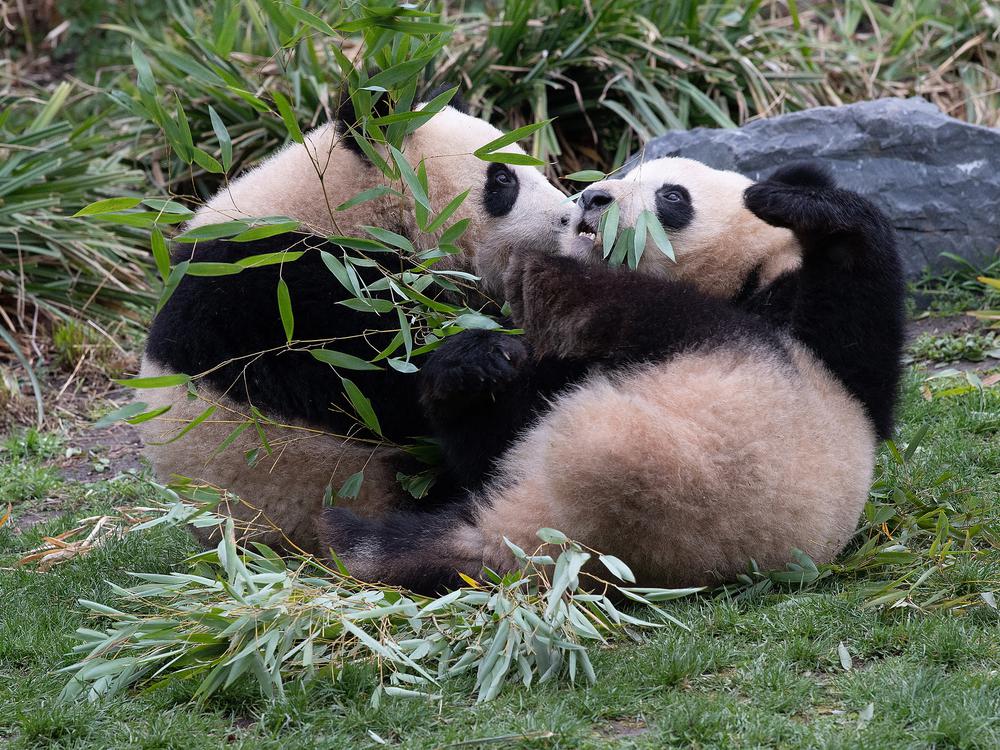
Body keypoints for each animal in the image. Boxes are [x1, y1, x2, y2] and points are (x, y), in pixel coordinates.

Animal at [316, 157, 906, 593]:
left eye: (673, 197)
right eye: (623, 174)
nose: (592, 199)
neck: (735, 281)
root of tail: (550, 533)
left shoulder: (804, 347)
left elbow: (856, 340)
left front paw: (797, 202)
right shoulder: (561, 371)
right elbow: (488, 441)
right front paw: (473, 362)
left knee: (648, 311)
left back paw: (548, 276)